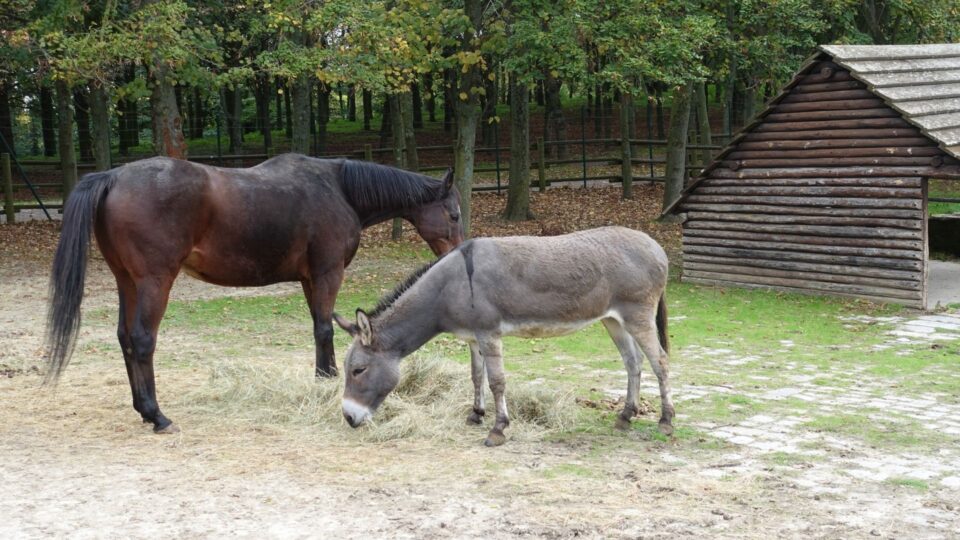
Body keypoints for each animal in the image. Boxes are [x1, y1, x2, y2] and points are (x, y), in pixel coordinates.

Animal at [45, 153, 463, 433]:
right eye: (454, 214)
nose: (459, 253)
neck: (339, 189)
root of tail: (114, 176)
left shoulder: (310, 279)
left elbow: (318, 327)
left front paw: (324, 376)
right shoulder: (328, 273)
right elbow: (325, 327)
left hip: (126, 282)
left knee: (124, 339)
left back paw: (142, 410)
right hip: (153, 282)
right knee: (142, 340)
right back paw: (157, 415)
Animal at [333, 226, 674, 446]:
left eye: (358, 370)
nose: (348, 418)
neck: (449, 287)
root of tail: (656, 246)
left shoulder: (489, 333)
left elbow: (497, 381)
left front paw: (498, 429)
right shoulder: (473, 338)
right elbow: (476, 376)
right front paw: (476, 415)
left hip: (637, 316)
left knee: (660, 362)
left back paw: (666, 421)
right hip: (613, 320)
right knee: (633, 362)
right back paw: (626, 416)